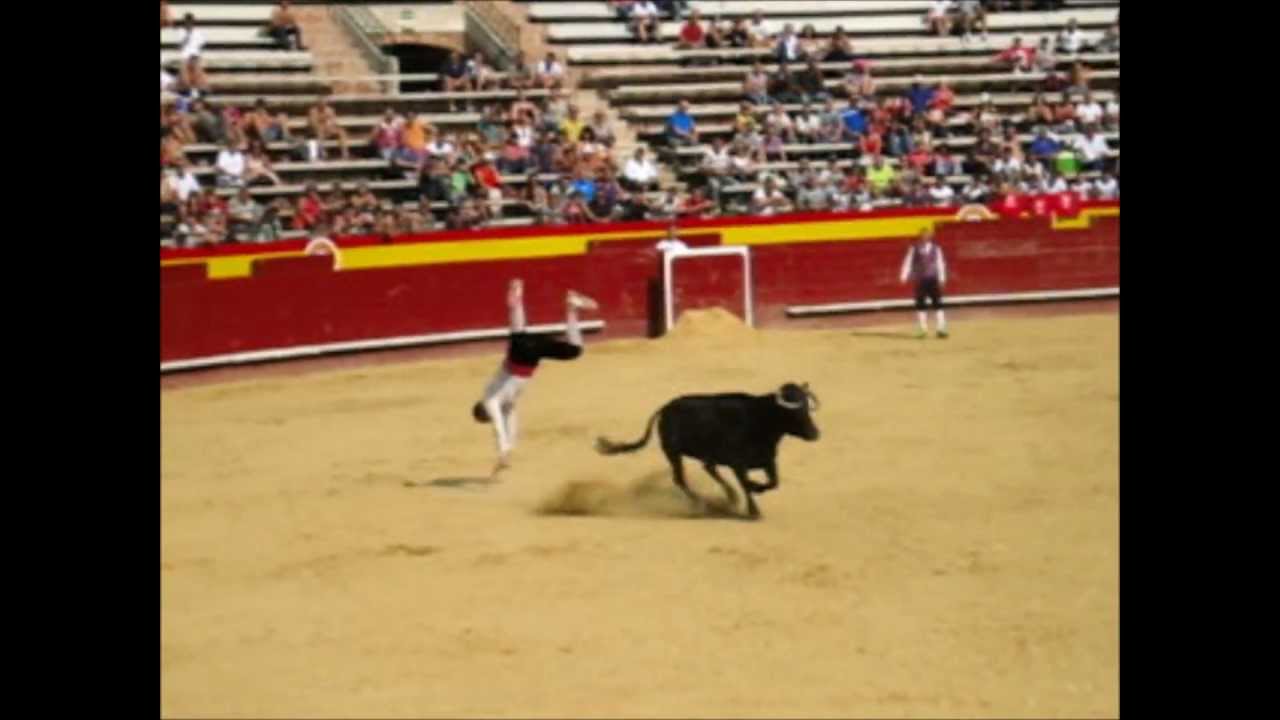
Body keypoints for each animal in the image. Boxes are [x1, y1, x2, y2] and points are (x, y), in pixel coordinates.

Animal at [595, 382, 820, 519]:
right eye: (795, 412)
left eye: (807, 408)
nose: (815, 434)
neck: (761, 420)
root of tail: (665, 408)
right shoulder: (738, 464)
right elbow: (747, 485)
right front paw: (753, 510)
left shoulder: (768, 460)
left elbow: (773, 482)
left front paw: (755, 490)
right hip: (673, 452)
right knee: (681, 479)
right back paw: (703, 503)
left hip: (699, 454)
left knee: (707, 468)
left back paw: (728, 497)